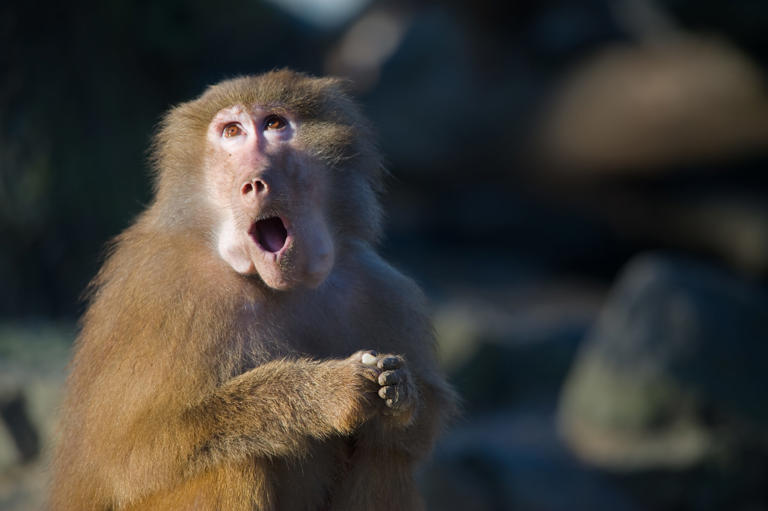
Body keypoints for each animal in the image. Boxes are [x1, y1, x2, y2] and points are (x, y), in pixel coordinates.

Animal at [49, 70, 456, 511]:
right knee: (235, 462)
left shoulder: (379, 286)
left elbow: (417, 429)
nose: (255, 183)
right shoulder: (165, 293)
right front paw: (323, 392)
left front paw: (401, 391)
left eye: (275, 124)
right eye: (232, 132)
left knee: (384, 455)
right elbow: (131, 455)